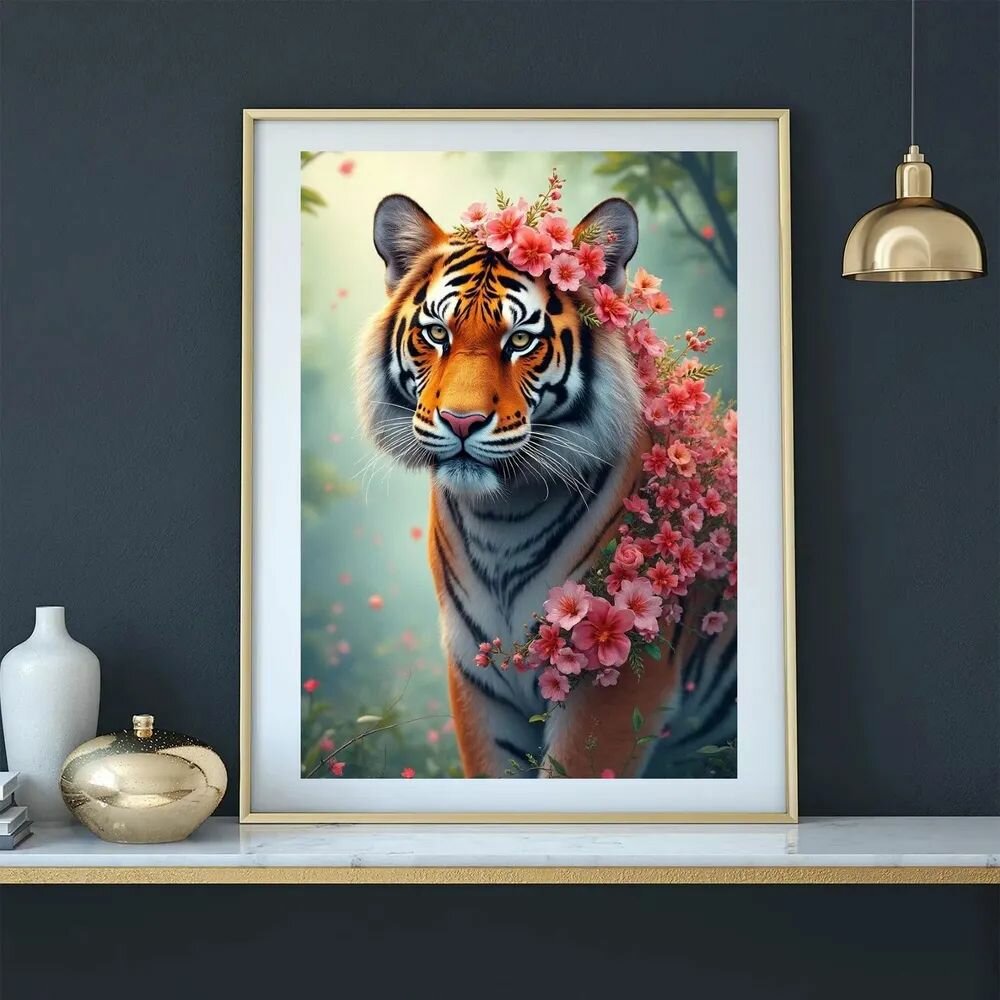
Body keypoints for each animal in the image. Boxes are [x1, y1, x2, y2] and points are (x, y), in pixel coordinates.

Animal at [355, 193, 736, 778]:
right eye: (438, 333)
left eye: (520, 341)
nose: (461, 421)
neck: (502, 516)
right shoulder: (477, 684)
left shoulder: (614, 688)